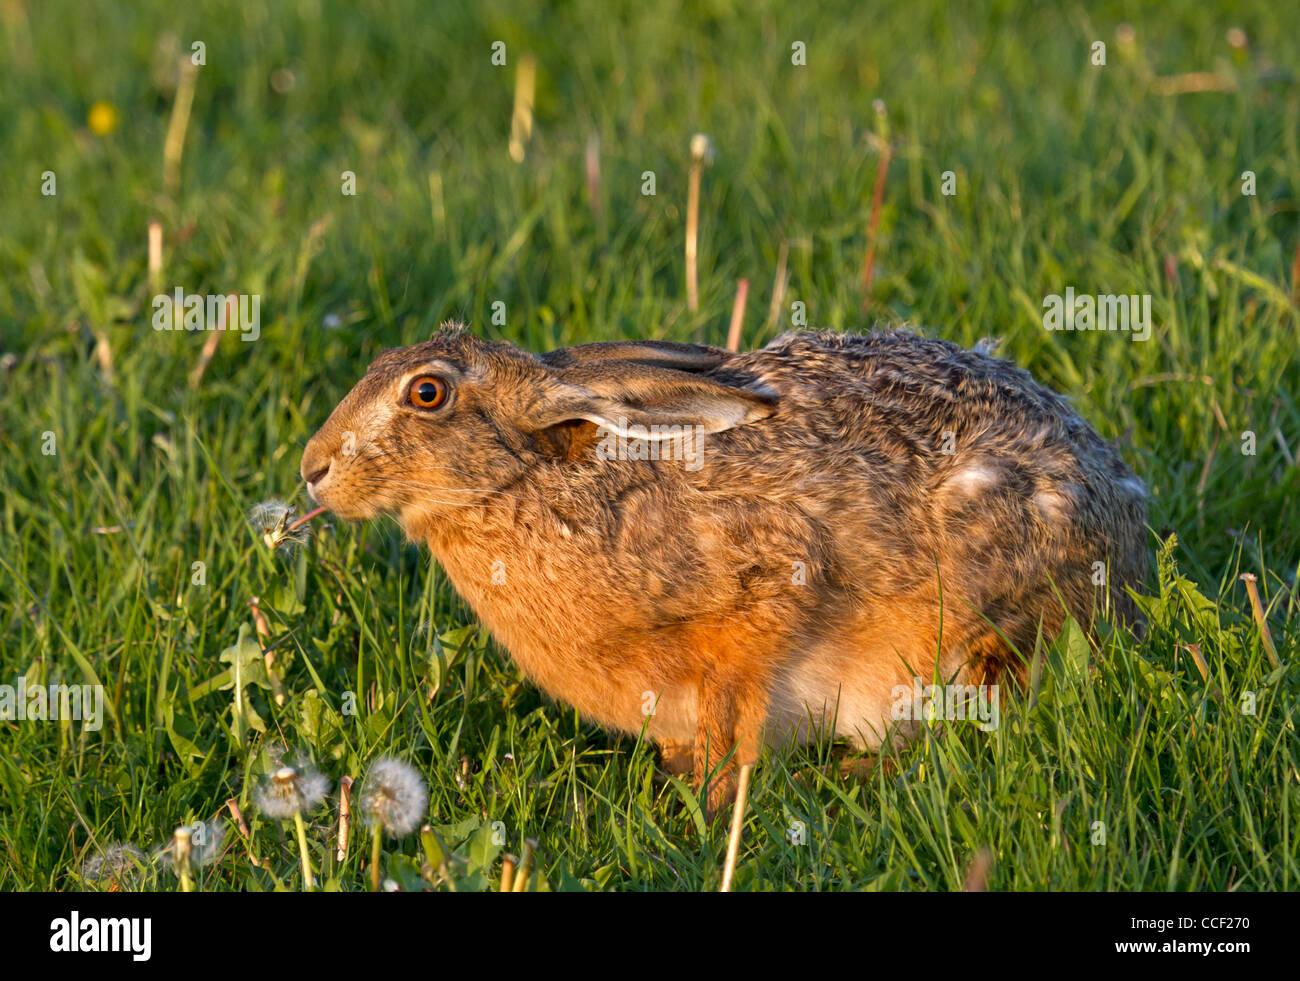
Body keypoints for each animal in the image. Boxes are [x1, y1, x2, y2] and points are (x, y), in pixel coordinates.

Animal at [300, 324, 1147, 812]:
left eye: (427, 392)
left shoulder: (769, 581)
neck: (525, 483)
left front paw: (709, 804)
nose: (312, 469)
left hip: (977, 623)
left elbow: (732, 708)